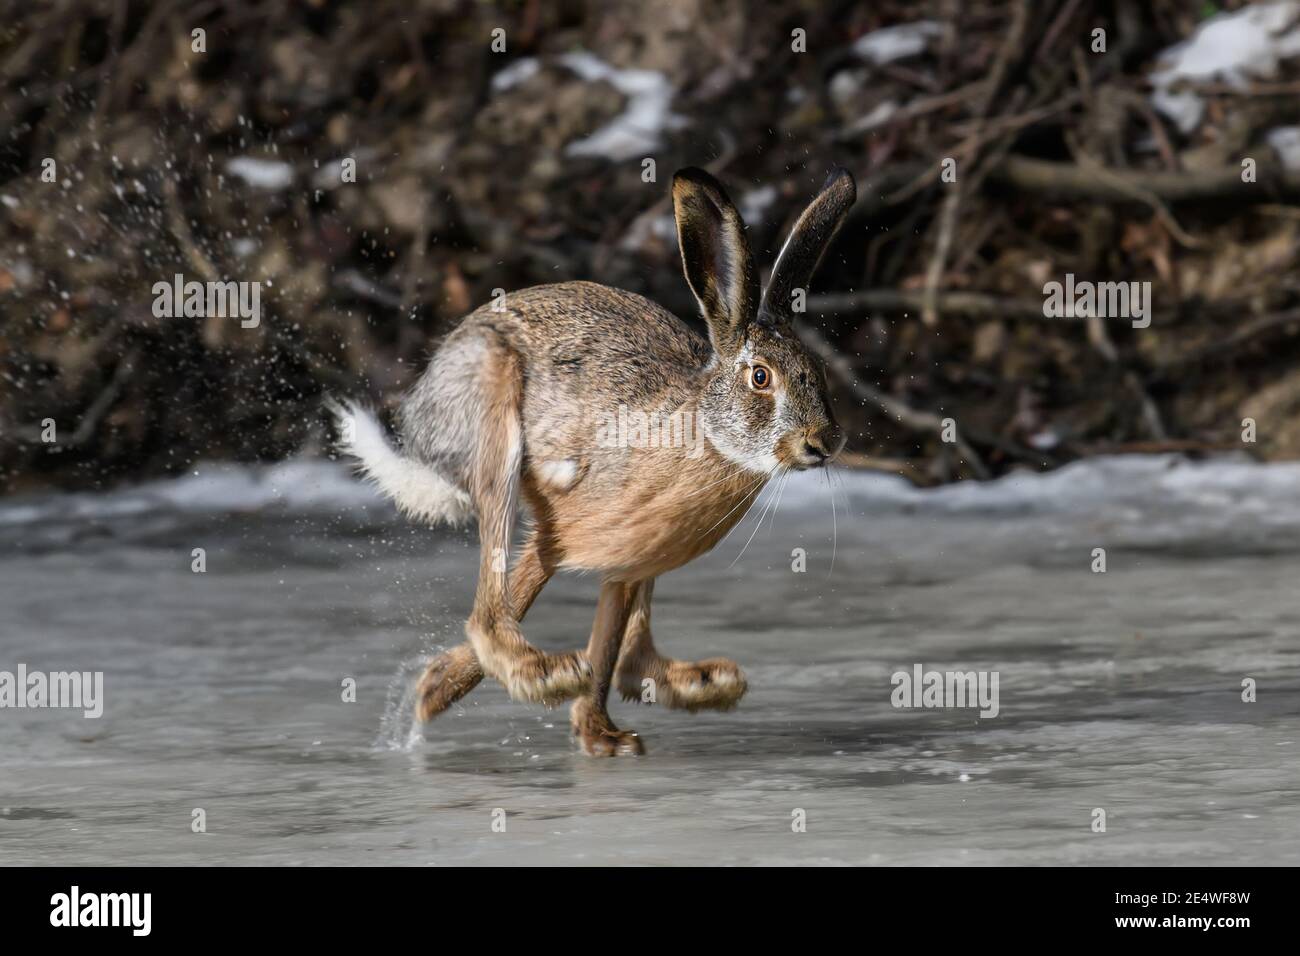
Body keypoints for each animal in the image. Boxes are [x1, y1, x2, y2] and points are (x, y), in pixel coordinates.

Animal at [333, 165, 854, 756]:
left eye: (819, 372)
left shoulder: (629, 559)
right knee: (490, 607)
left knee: (625, 649)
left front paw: (600, 735)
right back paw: (521, 678)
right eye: (761, 377)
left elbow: (608, 639)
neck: (703, 426)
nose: (824, 441)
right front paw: (449, 686)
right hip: (494, 422)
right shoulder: (561, 530)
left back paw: (698, 683)